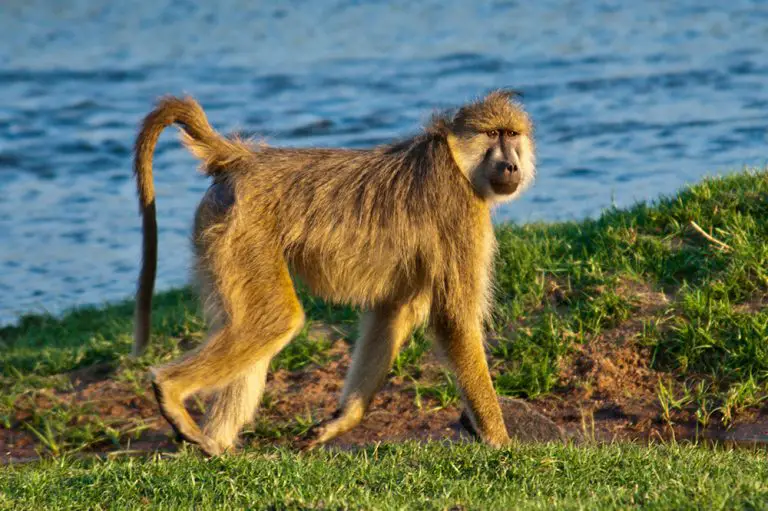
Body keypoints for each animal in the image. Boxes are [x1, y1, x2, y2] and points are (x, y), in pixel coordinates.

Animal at [132, 90, 536, 456]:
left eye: (512, 134)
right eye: (493, 134)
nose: (511, 166)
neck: (456, 159)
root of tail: (244, 159)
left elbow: (394, 312)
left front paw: (342, 419)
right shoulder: (459, 212)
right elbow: (454, 320)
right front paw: (499, 441)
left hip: (216, 231)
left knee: (249, 324)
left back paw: (215, 447)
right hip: (242, 232)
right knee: (273, 321)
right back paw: (170, 393)